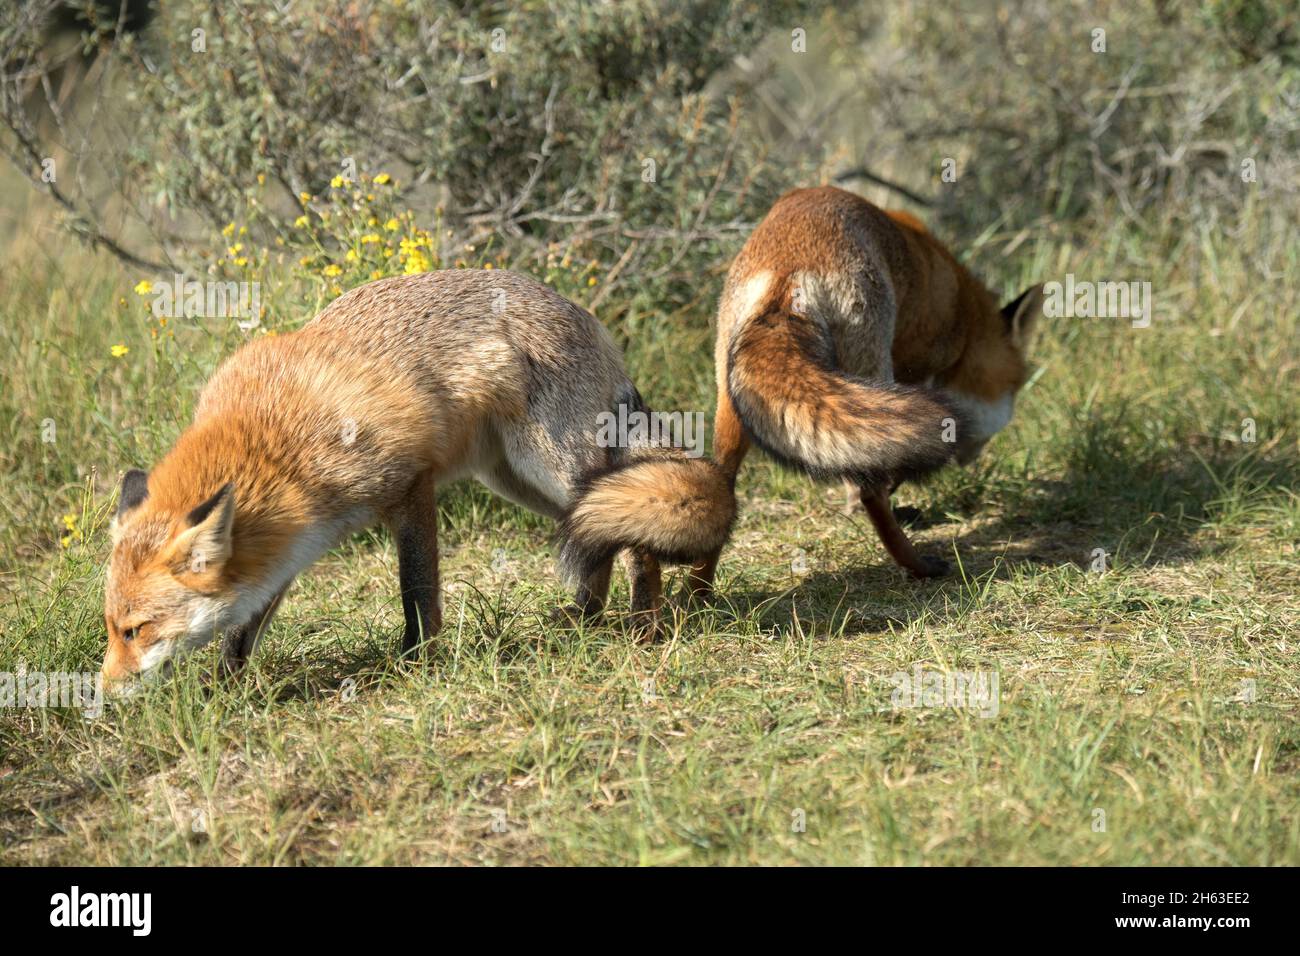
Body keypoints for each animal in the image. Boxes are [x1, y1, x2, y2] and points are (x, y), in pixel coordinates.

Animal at [101, 269, 735, 690]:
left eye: (135, 631)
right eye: (111, 628)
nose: (103, 691)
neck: (274, 439)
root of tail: (588, 318)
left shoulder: (410, 485)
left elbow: (417, 587)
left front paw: (416, 662)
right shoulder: (286, 543)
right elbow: (244, 624)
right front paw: (226, 689)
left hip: (553, 464)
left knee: (633, 539)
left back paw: (642, 624)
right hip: (526, 484)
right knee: (596, 537)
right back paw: (584, 618)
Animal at [685, 186, 1042, 597]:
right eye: (1015, 389)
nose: (972, 460)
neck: (961, 312)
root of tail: (788, 269)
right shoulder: (915, 370)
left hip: (731, 402)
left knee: (723, 481)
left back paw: (698, 592)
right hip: (871, 365)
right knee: (875, 486)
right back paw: (916, 565)